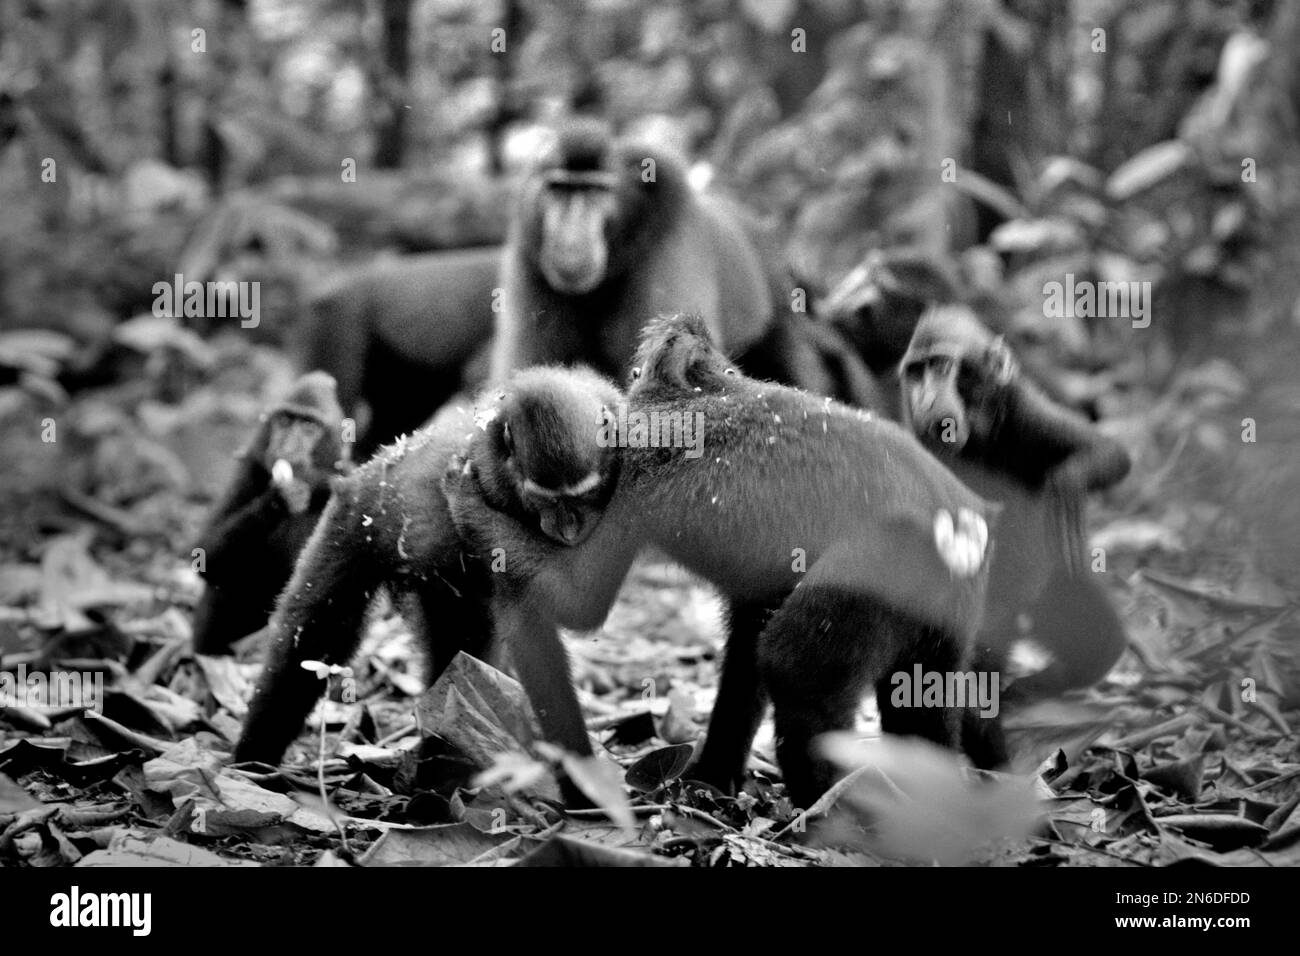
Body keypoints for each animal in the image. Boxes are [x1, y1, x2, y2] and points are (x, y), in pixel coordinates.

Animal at [191, 371, 350, 656]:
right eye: (285, 420)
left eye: (309, 426)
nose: (288, 446)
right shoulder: (248, 469)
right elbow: (206, 554)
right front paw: (280, 497)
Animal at [232, 367, 622, 784]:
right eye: (546, 501)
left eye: (582, 497)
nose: (568, 528)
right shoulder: (491, 487)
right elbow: (548, 618)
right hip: (353, 522)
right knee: (311, 637)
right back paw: (255, 754)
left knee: (457, 645)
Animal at [443, 312, 1000, 808]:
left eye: (572, 503)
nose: (564, 526)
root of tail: (951, 519)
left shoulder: (632, 478)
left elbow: (581, 603)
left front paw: (465, 491)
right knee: (923, 697)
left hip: (886, 564)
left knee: (794, 664)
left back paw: (824, 810)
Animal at [897, 305, 1131, 737]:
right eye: (916, 373)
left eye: (941, 366)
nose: (927, 398)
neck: (982, 440)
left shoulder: (1026, 417)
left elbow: (1108, 451)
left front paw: (1067, 486)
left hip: (1052, 588)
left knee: (1098, 638)